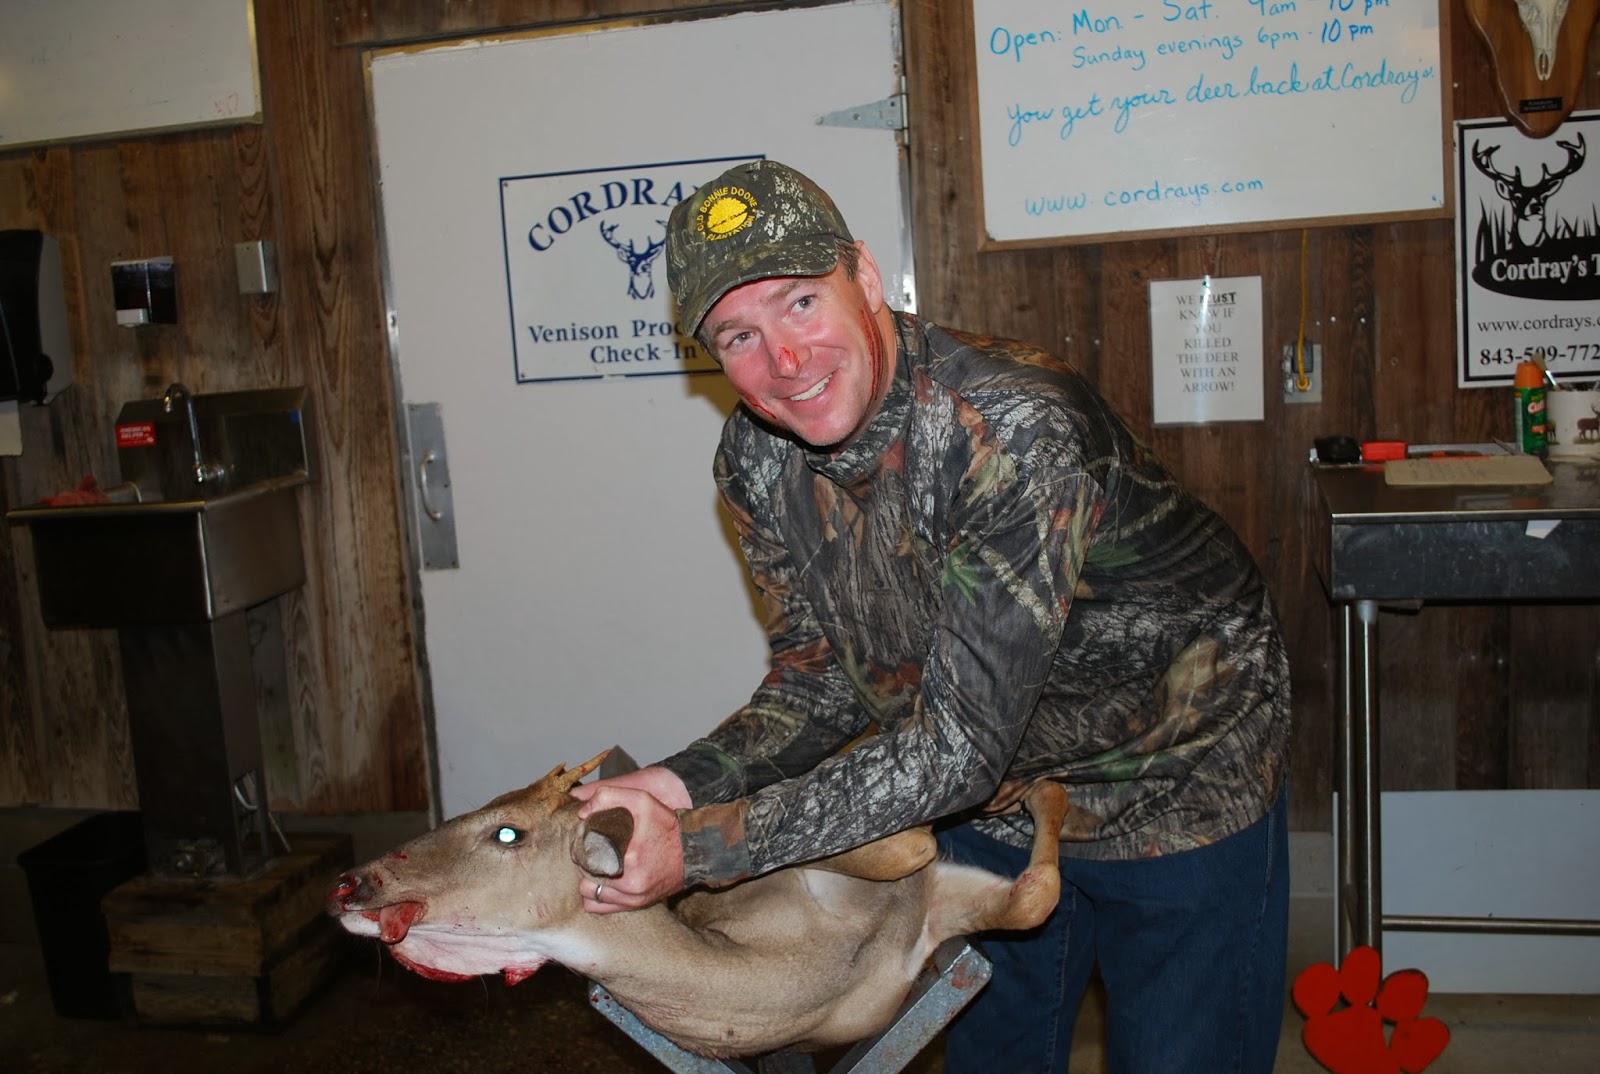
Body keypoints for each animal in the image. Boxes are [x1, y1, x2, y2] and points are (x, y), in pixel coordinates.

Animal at [325, 751, 1069, 1060]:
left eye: (507, 831)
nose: (348, 884)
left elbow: (933, 853)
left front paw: (1036, 785)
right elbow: (1023, 891)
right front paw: (1041, 787)